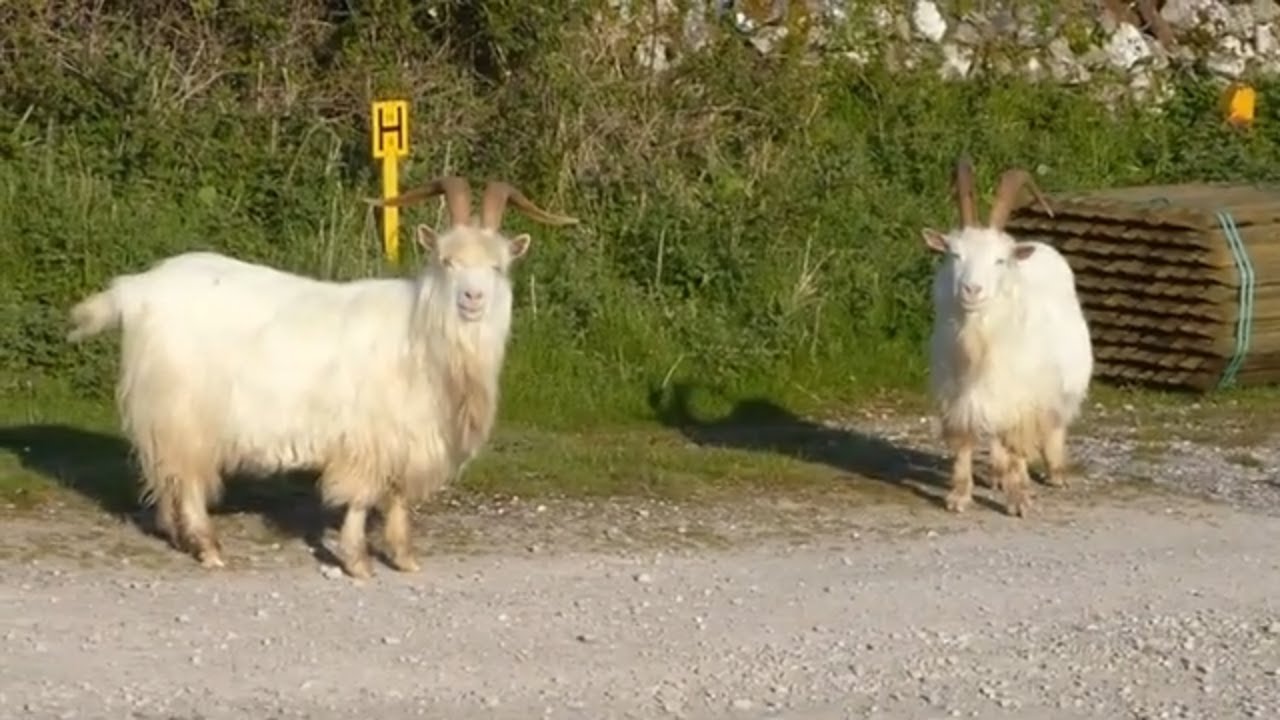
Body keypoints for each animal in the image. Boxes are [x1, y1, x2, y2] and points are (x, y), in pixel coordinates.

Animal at [67, 176, 577, 578]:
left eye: (498, 266)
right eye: (446, 260)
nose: (472, 298)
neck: (418, 334)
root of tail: (135, 291)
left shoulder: (408, 436)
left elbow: (396, 497)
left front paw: (403, 556)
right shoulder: (368, 437)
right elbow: (360, 497)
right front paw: (357, 562)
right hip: (182, 405)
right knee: (187, 477)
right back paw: (207, 547)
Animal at [921, 157, 1093, 517]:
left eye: (999, 260)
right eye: (954, 254)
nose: (971, 290)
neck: (979, 345)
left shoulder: (1023, 400)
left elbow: (1017, 446)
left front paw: (1019, 501)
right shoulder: (957, 398)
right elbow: (965, 442)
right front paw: (959, 496)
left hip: (1060, 389)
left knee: (1052, 427)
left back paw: (1054, 473)